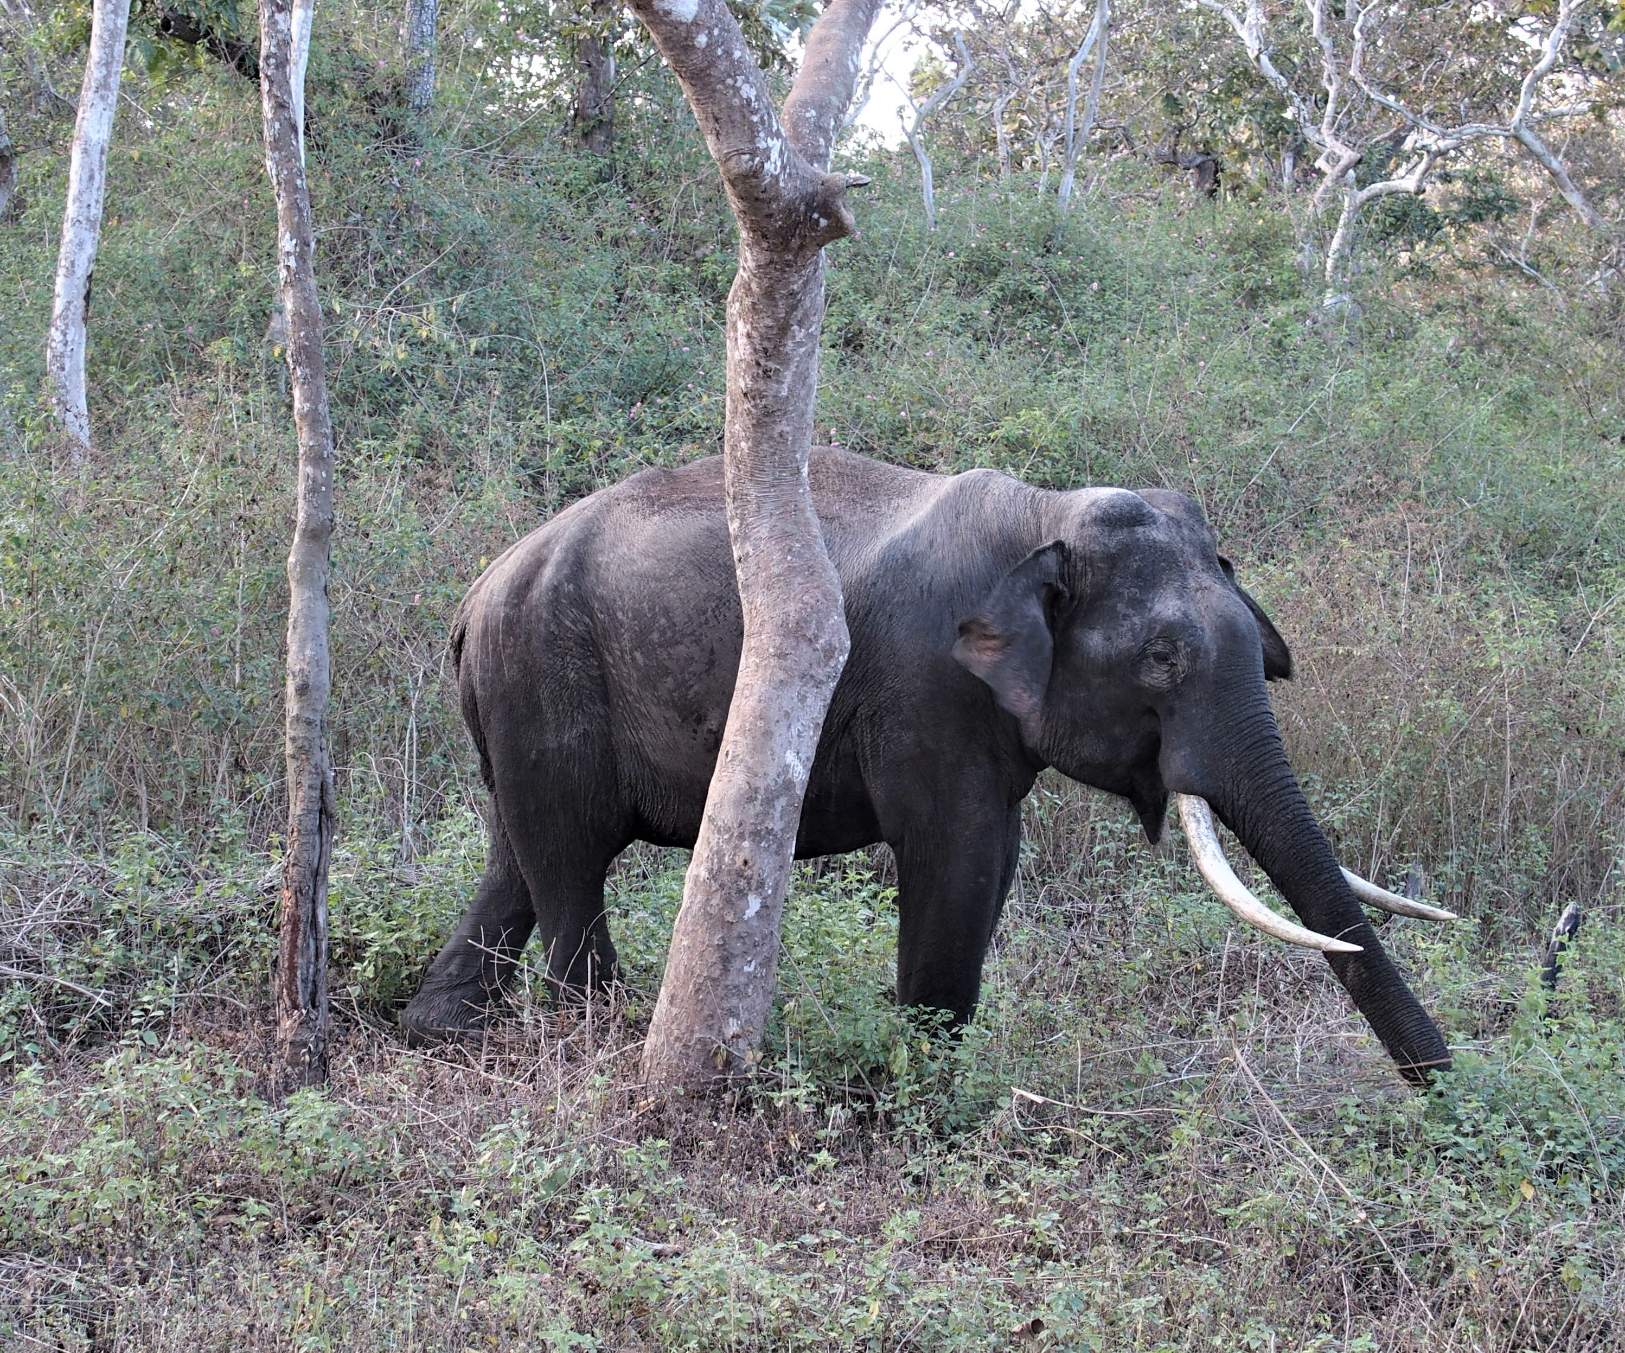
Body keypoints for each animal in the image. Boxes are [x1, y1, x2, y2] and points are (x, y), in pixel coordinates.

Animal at [402, 448, 1454, 1083]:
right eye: (1161, 659)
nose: (1441, 1095)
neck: (1045, 514)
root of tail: (473, 596)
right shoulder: (926, 687)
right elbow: (957, 854)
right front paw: (919, 1089)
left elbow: (994, 861)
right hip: (543, 678)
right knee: (568, 861)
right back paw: (593, 1033)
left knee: (521, 857)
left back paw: (437, 1030)